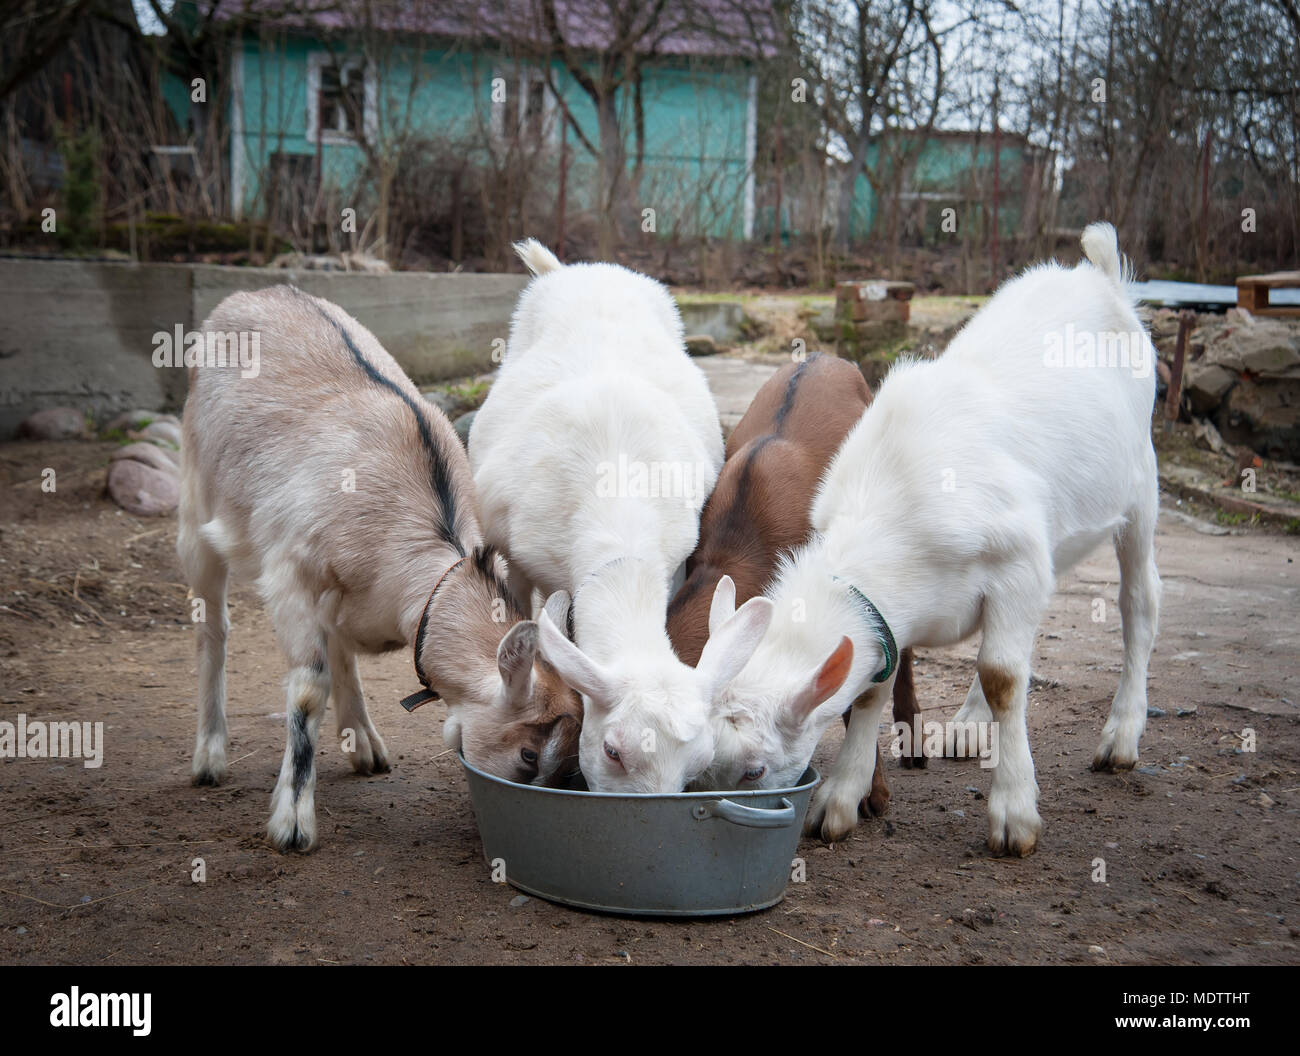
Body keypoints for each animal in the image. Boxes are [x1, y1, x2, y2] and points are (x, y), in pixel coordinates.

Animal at [178, 286, 581, 851]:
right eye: (528, 754)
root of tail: (253, 294)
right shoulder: (289, 576)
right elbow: (308, 688)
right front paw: (293, 824)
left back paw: (364, 745)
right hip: (196, 505)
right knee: (211, 626)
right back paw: (209, 756)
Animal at [705, 223, 1160, 856]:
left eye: (753, 769)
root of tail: (1100, 276)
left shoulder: (1017, 562)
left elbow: (1004, 676)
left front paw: (1014, 813)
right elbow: (875, 688)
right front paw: (839, 800)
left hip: (1140, 486)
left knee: (1138, 600)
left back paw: (1121, 737)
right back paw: (968, 725)